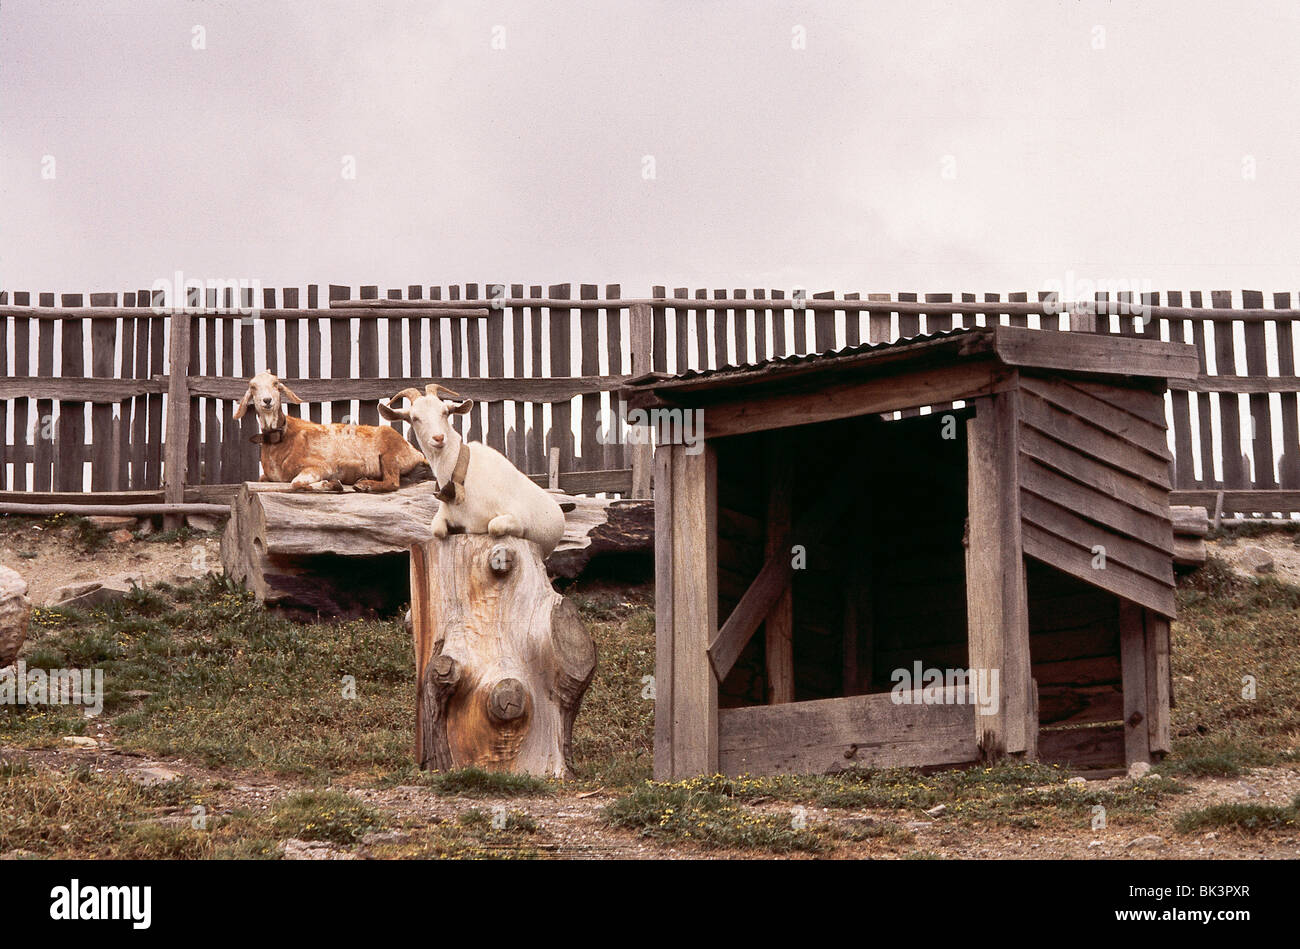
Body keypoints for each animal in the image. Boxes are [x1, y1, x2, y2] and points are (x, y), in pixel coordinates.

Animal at [233, 371, 430, 492]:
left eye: (276, 384)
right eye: (252, 386)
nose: (267, 401)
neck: (282, 440)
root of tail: (416, 453)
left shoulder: (319, 467)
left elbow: (296, 483)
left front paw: (332, 484)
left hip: (390, 456)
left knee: (393, 482)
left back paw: (364, 485)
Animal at [379, 384, 566, 556]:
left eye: (445, 412)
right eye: (414, 417)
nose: (438, 438)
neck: (463, 475)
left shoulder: (517, 520)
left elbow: (493, 526)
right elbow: (437, 530)